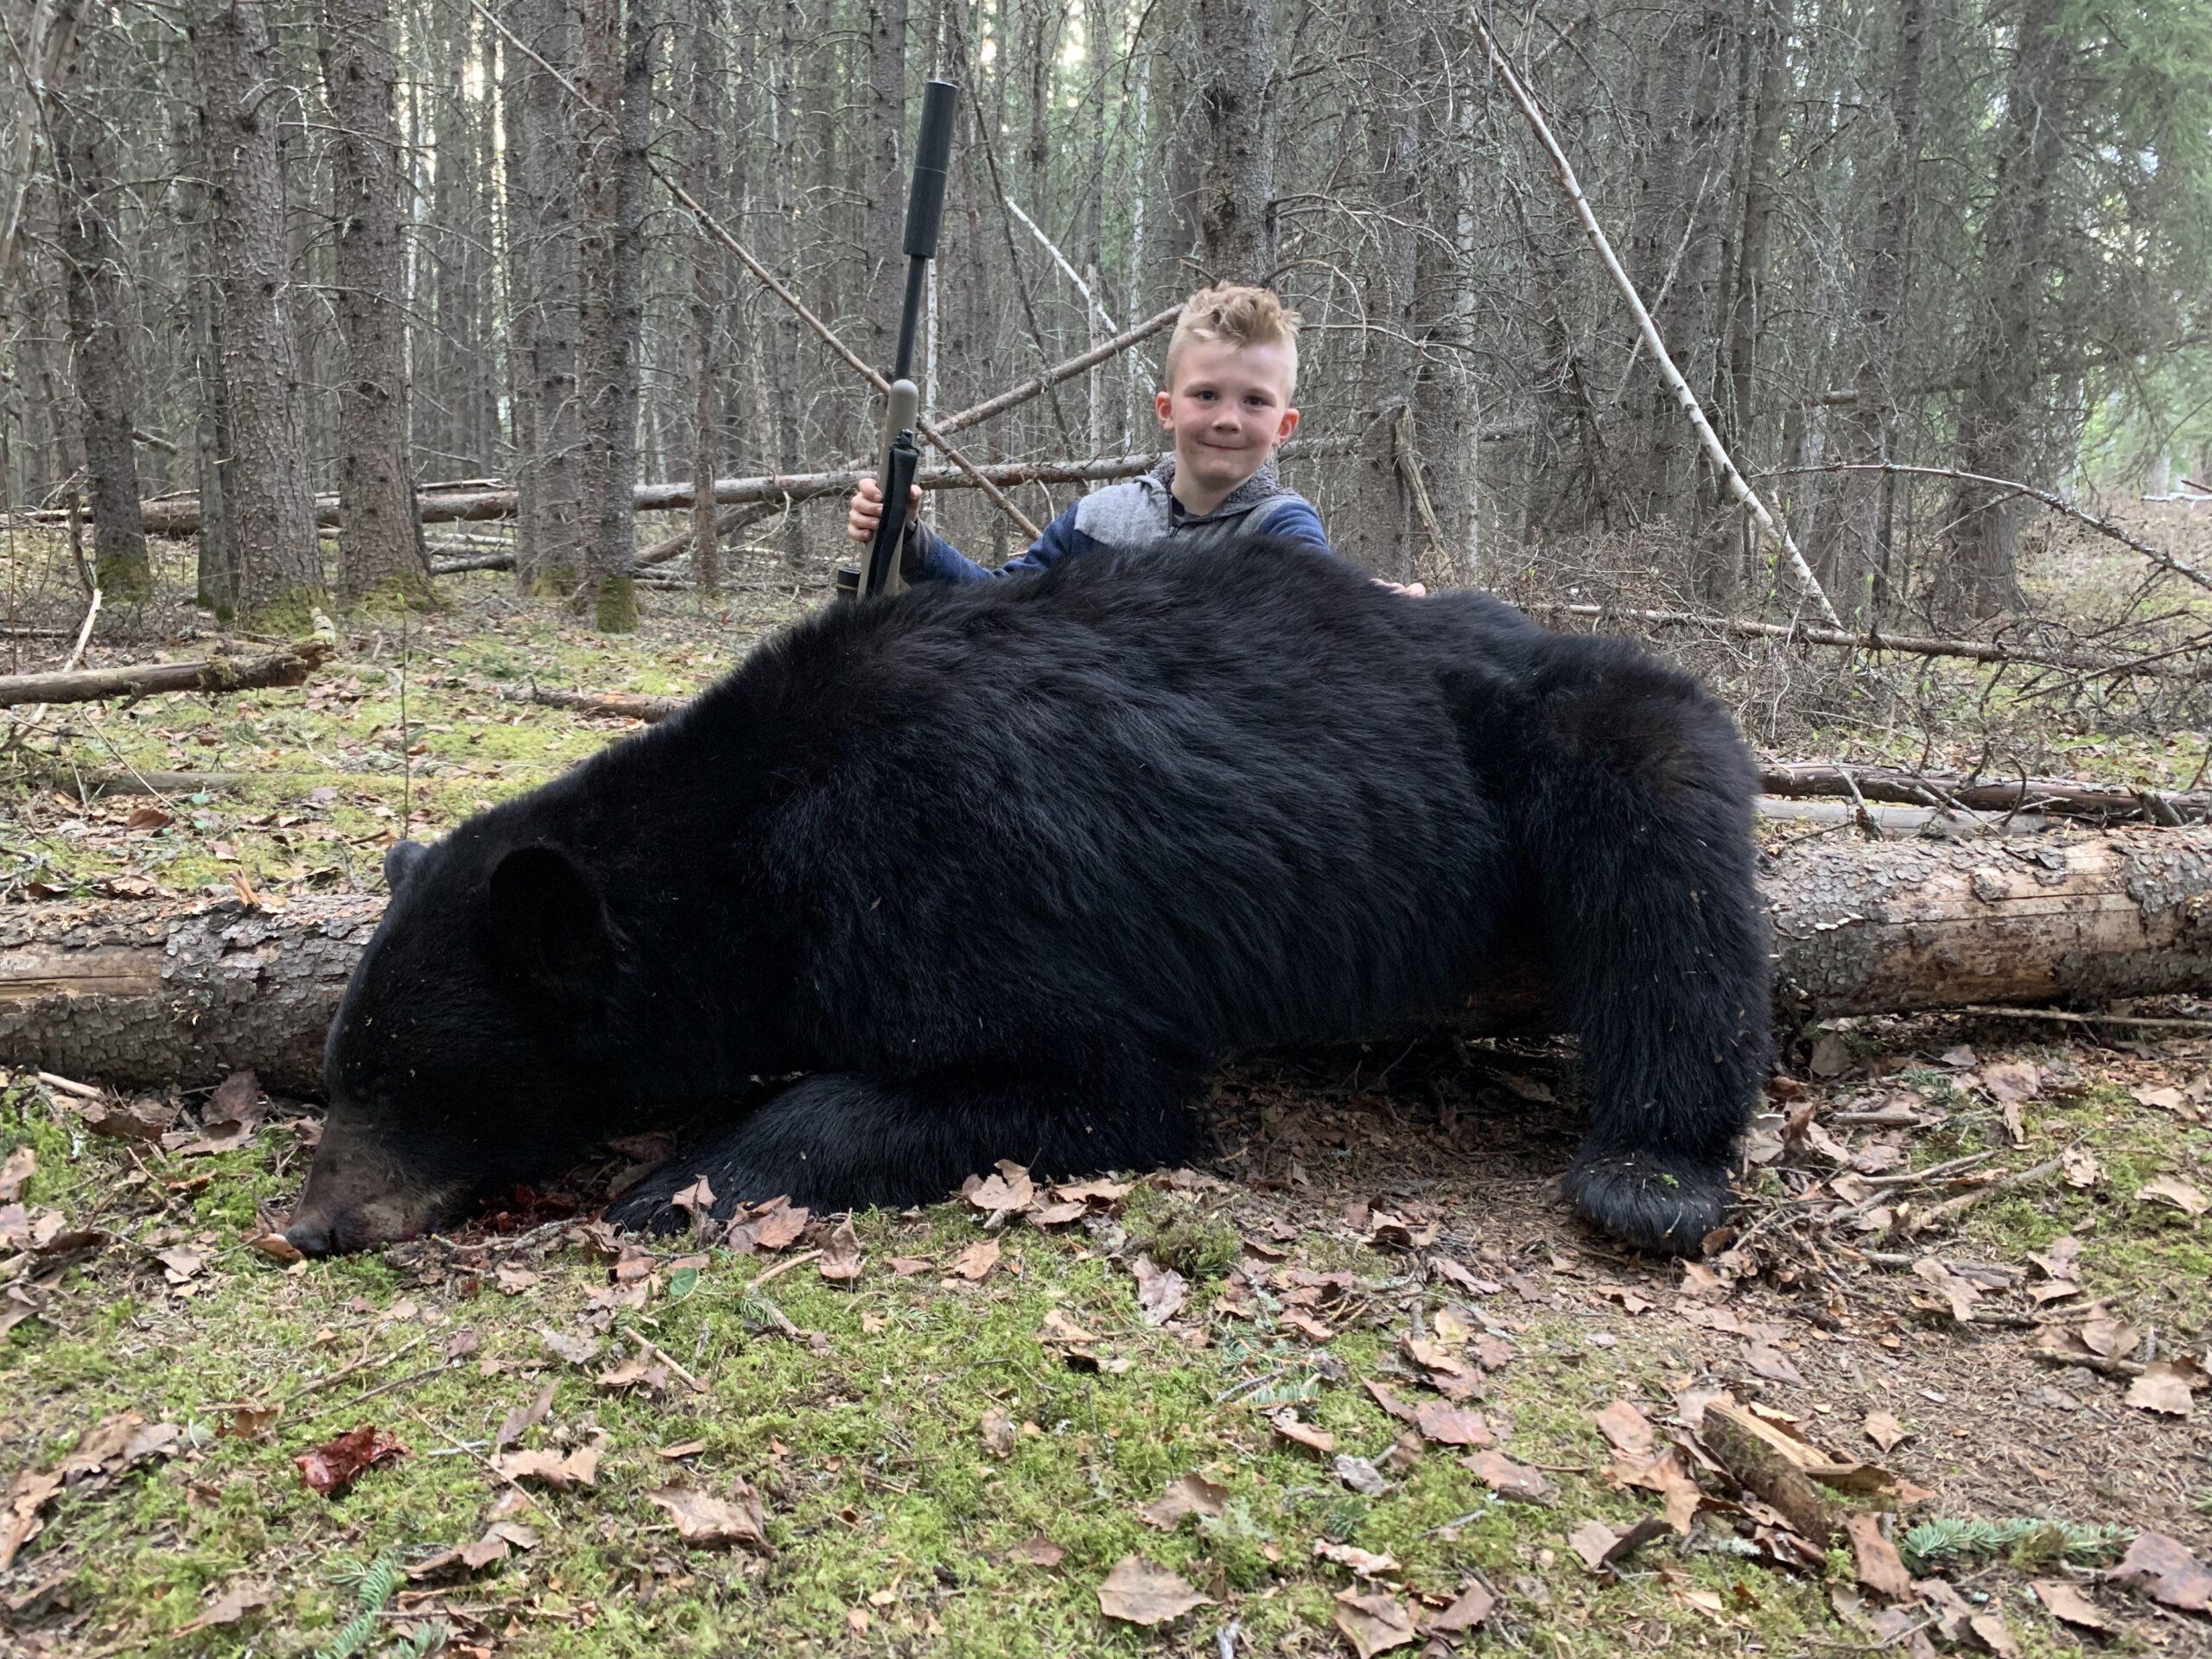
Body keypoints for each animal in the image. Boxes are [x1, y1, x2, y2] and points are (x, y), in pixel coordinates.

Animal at [284, 541, 1771, 1258]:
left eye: (407, 1081)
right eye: (343, 1069)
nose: (311, 1224)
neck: (747, 851)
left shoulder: (957, 873)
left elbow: (1086, 1081)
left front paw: (681, 1180)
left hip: (1568, 728)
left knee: (1666, 870)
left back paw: (1651, 1172)